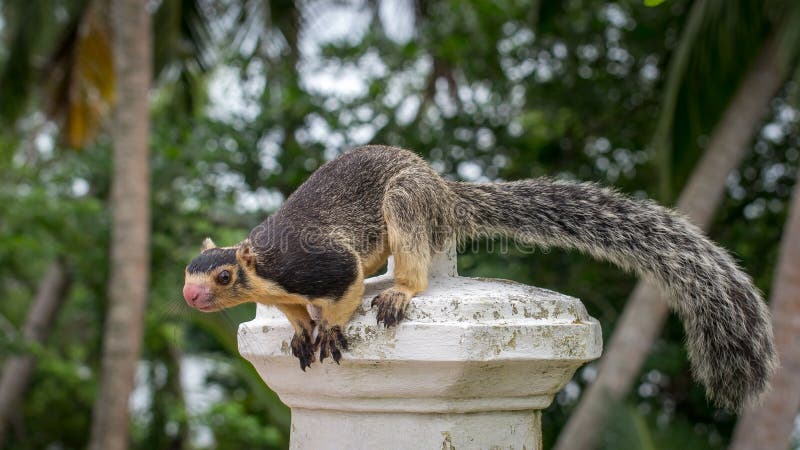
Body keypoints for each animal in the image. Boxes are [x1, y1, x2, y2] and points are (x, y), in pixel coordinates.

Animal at [183, 145, 776, 410]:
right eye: (187, 272)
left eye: (225, 277)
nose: (190, 296)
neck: (267, 270)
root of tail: (446, 195)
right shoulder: (287, 289)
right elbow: (292, 314)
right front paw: (302, 333)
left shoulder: (320, 265)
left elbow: (344, 288)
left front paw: (327, 329)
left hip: (410, 200)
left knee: (411, 253)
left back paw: (401, 291)